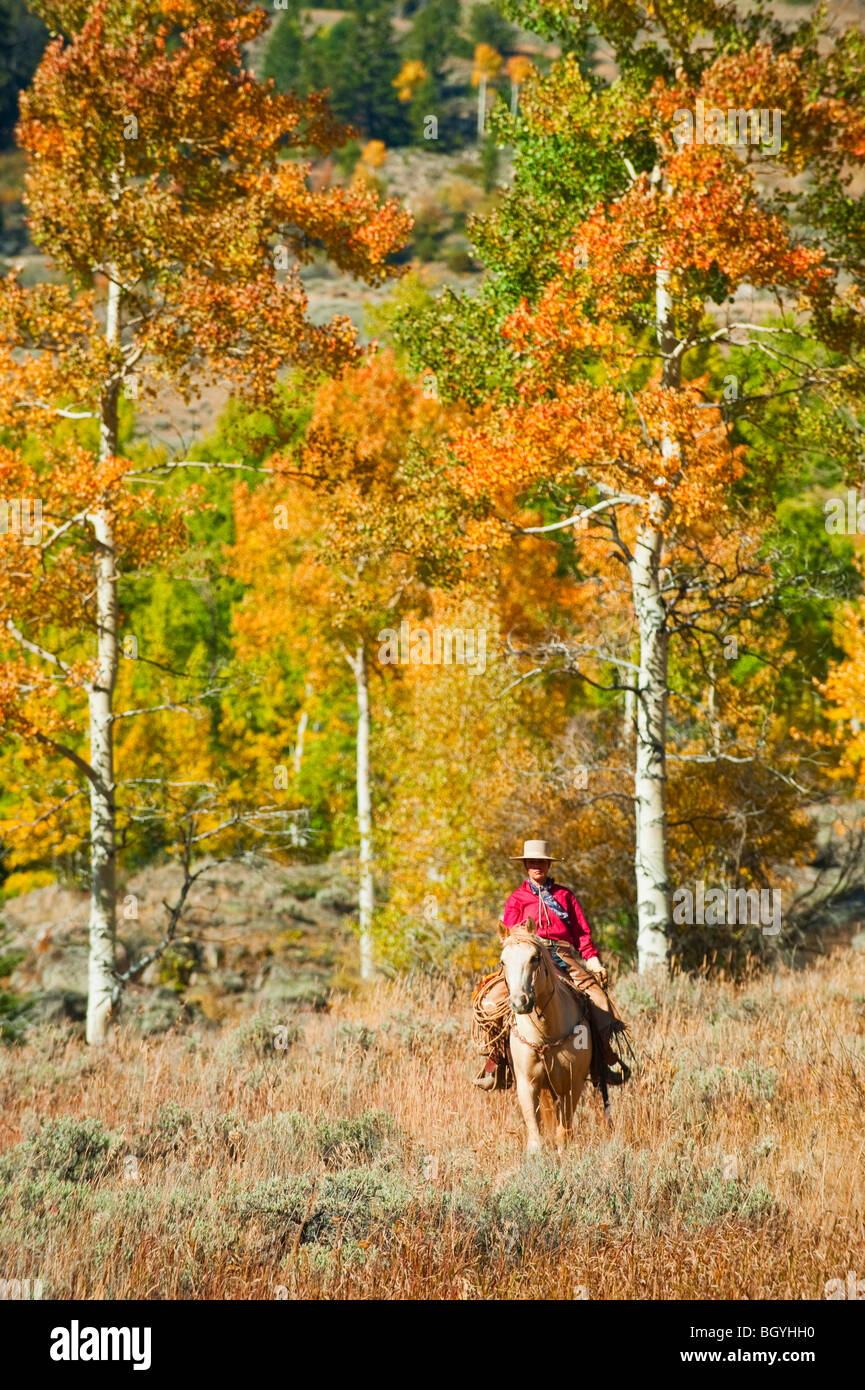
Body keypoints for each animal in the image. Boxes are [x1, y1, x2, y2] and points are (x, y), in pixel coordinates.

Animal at [499, 924, 601, 1155]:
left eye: (534, 957)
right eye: (503, 961)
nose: (519, 1002)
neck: (546, 1032)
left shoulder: (572, 1084)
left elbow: (564, 1131)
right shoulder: (527, 1083)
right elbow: (535, 1134)